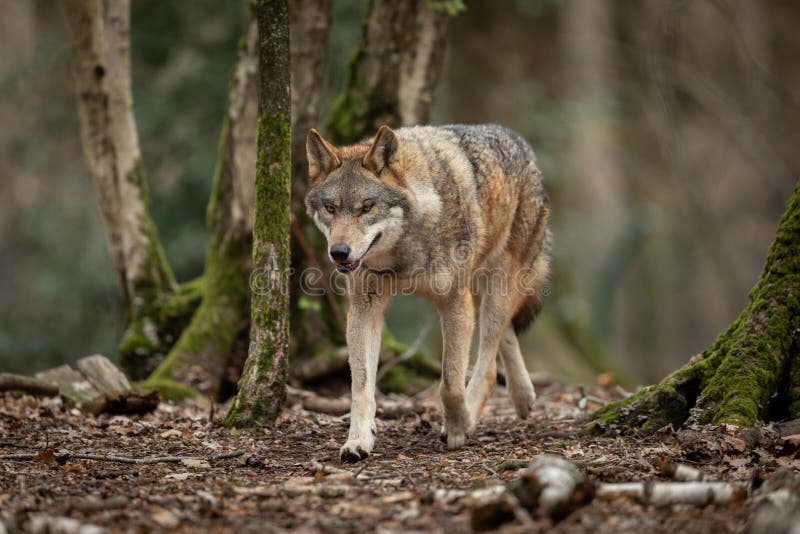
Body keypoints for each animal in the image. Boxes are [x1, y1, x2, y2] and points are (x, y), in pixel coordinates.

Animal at [304, 124, 551, 462]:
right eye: (331, 208)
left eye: (367, 207)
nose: (339, 252)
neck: (402, 258)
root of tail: (517, 139)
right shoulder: (363, 309)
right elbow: (361, 387)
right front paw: (358, 441)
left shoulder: (454, 303)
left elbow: (450, 382)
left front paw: (459, 427)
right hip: (480, 290)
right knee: (505, 335)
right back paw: (524, 397)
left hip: (496, 285)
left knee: (489, 362)